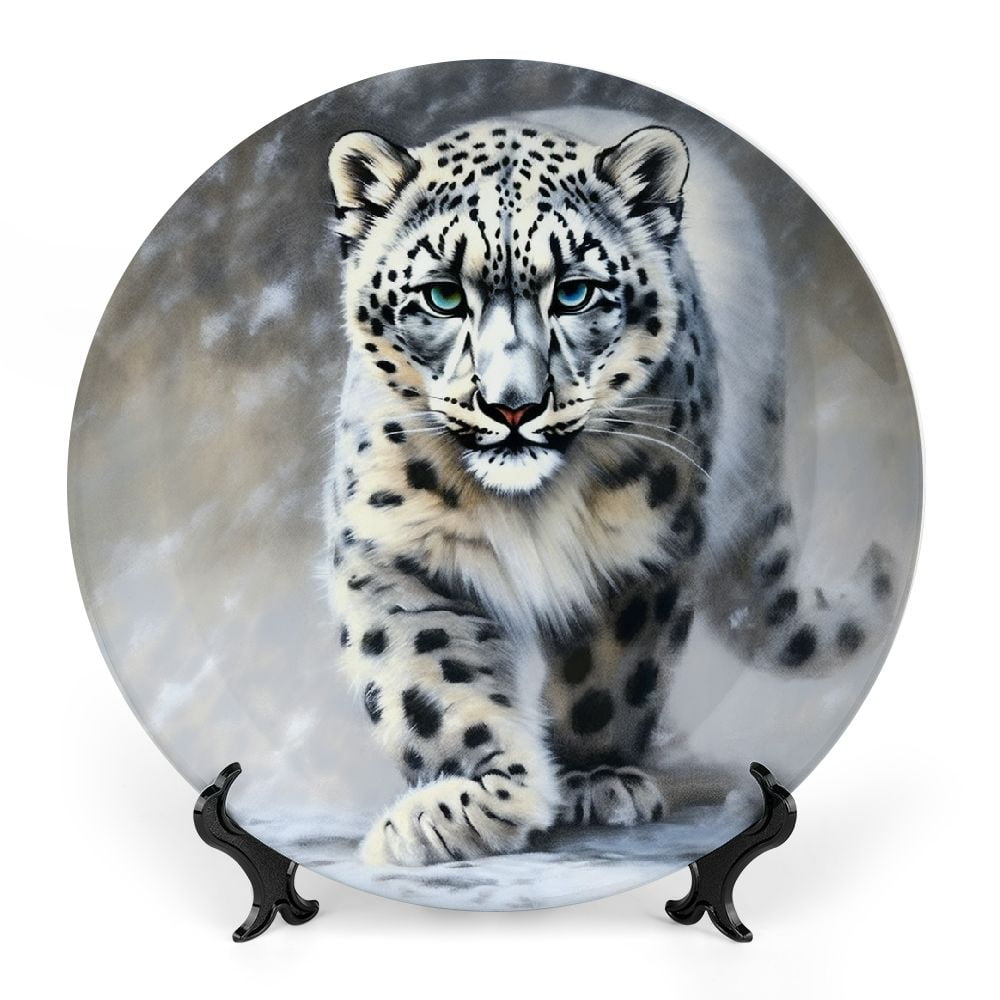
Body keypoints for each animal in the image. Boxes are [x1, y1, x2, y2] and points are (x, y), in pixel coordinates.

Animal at [322, 118, 894, 866]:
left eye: (575, 292)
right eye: (443, 295)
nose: (513, 405)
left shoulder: (643, 550)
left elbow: (611, 677)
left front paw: (595, 779)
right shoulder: (396, 553)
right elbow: (427, 679)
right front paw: (466, 805)